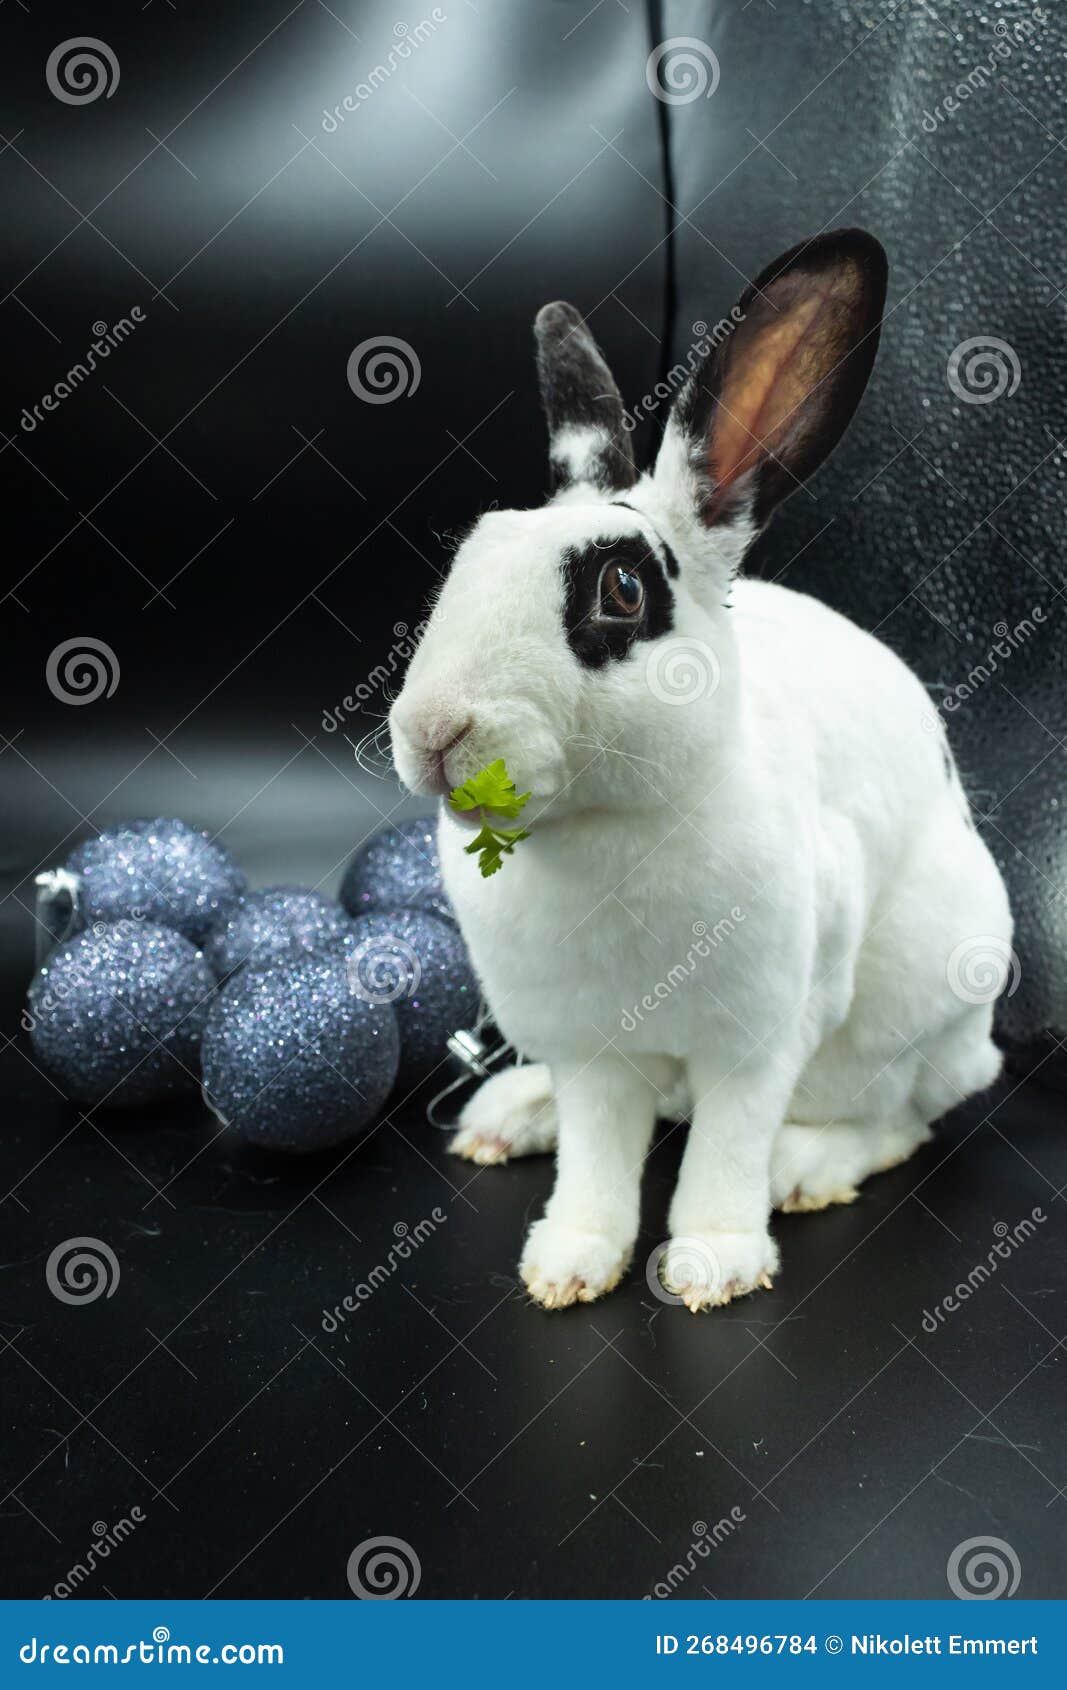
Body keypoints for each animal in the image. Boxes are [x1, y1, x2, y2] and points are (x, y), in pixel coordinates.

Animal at [388, 228, 1013, 1313]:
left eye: (622, 588)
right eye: (469, 557)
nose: (431, 729)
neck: (603, 827)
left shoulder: (754, 1040)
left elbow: (724, 1145)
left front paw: (711, 1264)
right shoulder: (591, 1047)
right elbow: (598, 1150)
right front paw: (567, 1262)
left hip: (918, 1001)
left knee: (902, 1116)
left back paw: (803, 1170)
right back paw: (508, 1115)